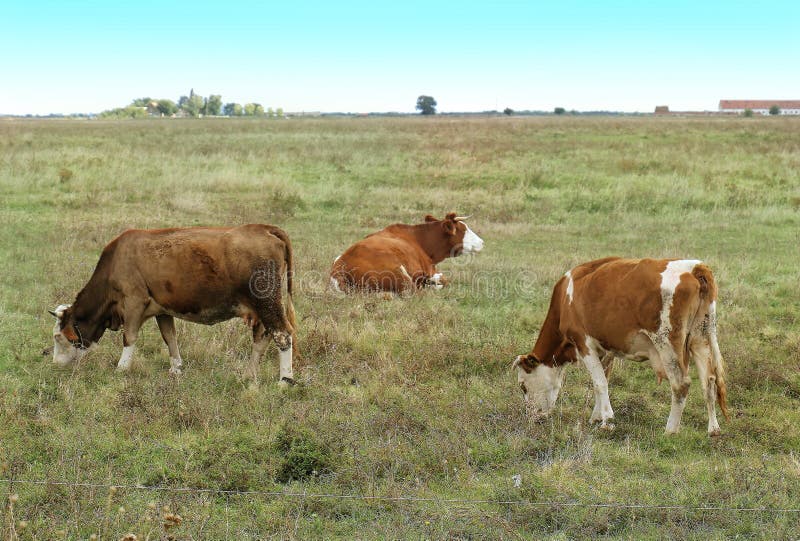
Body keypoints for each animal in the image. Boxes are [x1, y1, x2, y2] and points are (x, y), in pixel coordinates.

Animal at [50, 224, 297, 386]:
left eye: (59, 337)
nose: (55, 364)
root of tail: (264, 228)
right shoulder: (162, 309)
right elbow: (170, 337)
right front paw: (176, 369)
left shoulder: (134, 302)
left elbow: (129, 337)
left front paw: (121, 368)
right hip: (261, 309)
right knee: (262, 338)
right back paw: (249, 375)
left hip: (268, 303)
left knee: (283, 335)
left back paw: (285, 380)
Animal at [329, 213, 484, 293]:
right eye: (464, 229)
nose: (482, 242)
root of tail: (343, 264)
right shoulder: (429, 269)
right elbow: (444, 280)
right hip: (399, 273)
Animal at [513, 257, 729, 436]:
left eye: (523, 386)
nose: (532, 417)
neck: (565, 300)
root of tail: (694, 267)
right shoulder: (606, 349)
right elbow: (603, 380)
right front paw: (596, 416)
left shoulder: (584, 344)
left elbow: (599, 383)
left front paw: (607, 422)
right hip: (701, 337)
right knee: (708, 380)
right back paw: (713, 429)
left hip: (667, 343)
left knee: (680, 384)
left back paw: (670, 430)